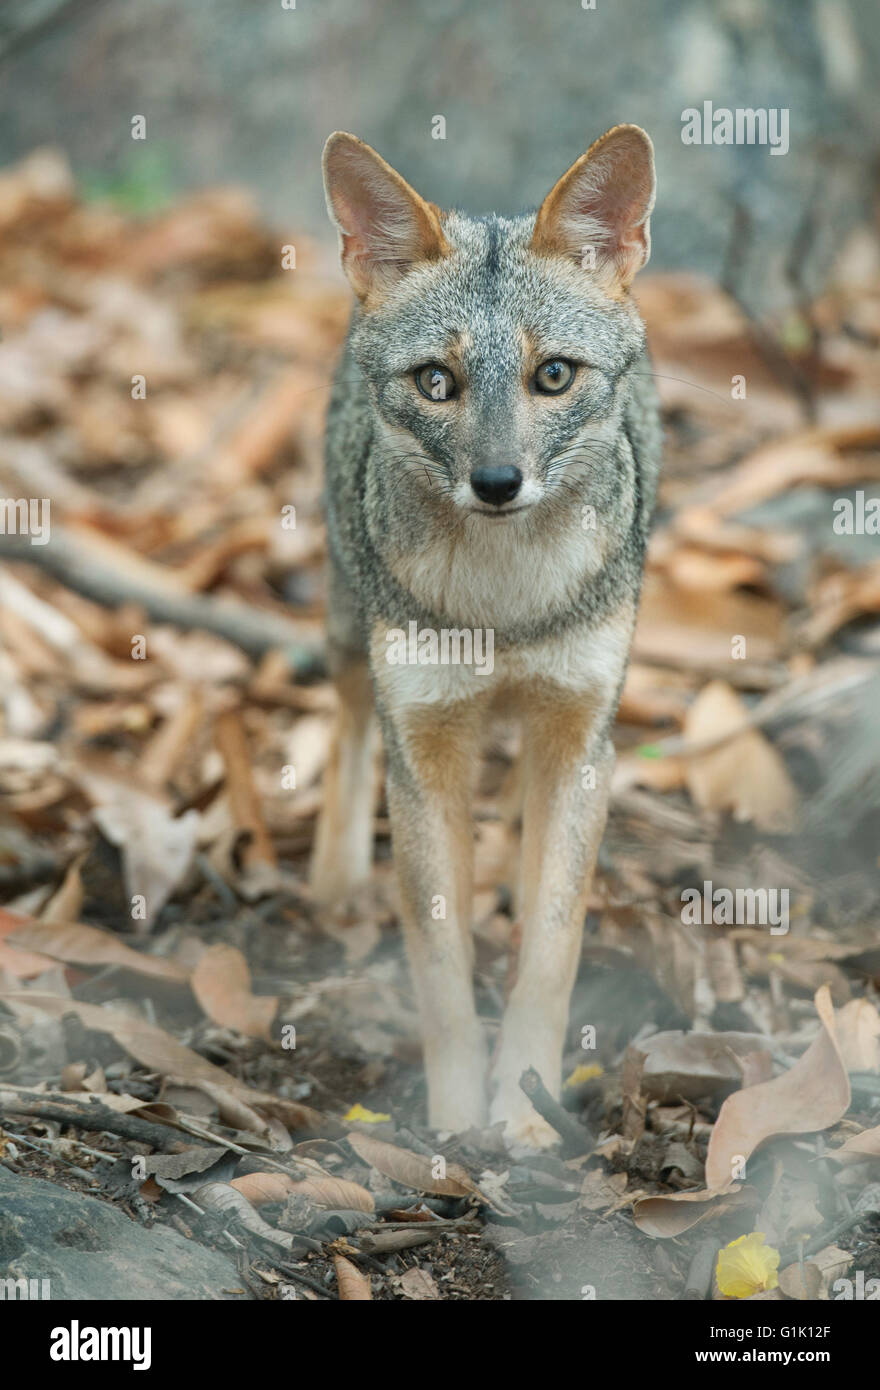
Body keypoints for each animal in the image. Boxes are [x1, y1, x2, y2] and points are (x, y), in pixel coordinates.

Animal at [310, 125, 661, 1150]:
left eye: (554, 376)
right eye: (438, 381)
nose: (498, 482)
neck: (505, 611)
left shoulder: (581, 739)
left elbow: (551, 947)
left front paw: (526, 1116)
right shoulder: (424, 746)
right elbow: (441, 968)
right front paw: (457, 1122)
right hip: (350, 637)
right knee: (347, 729)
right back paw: (336, 877)